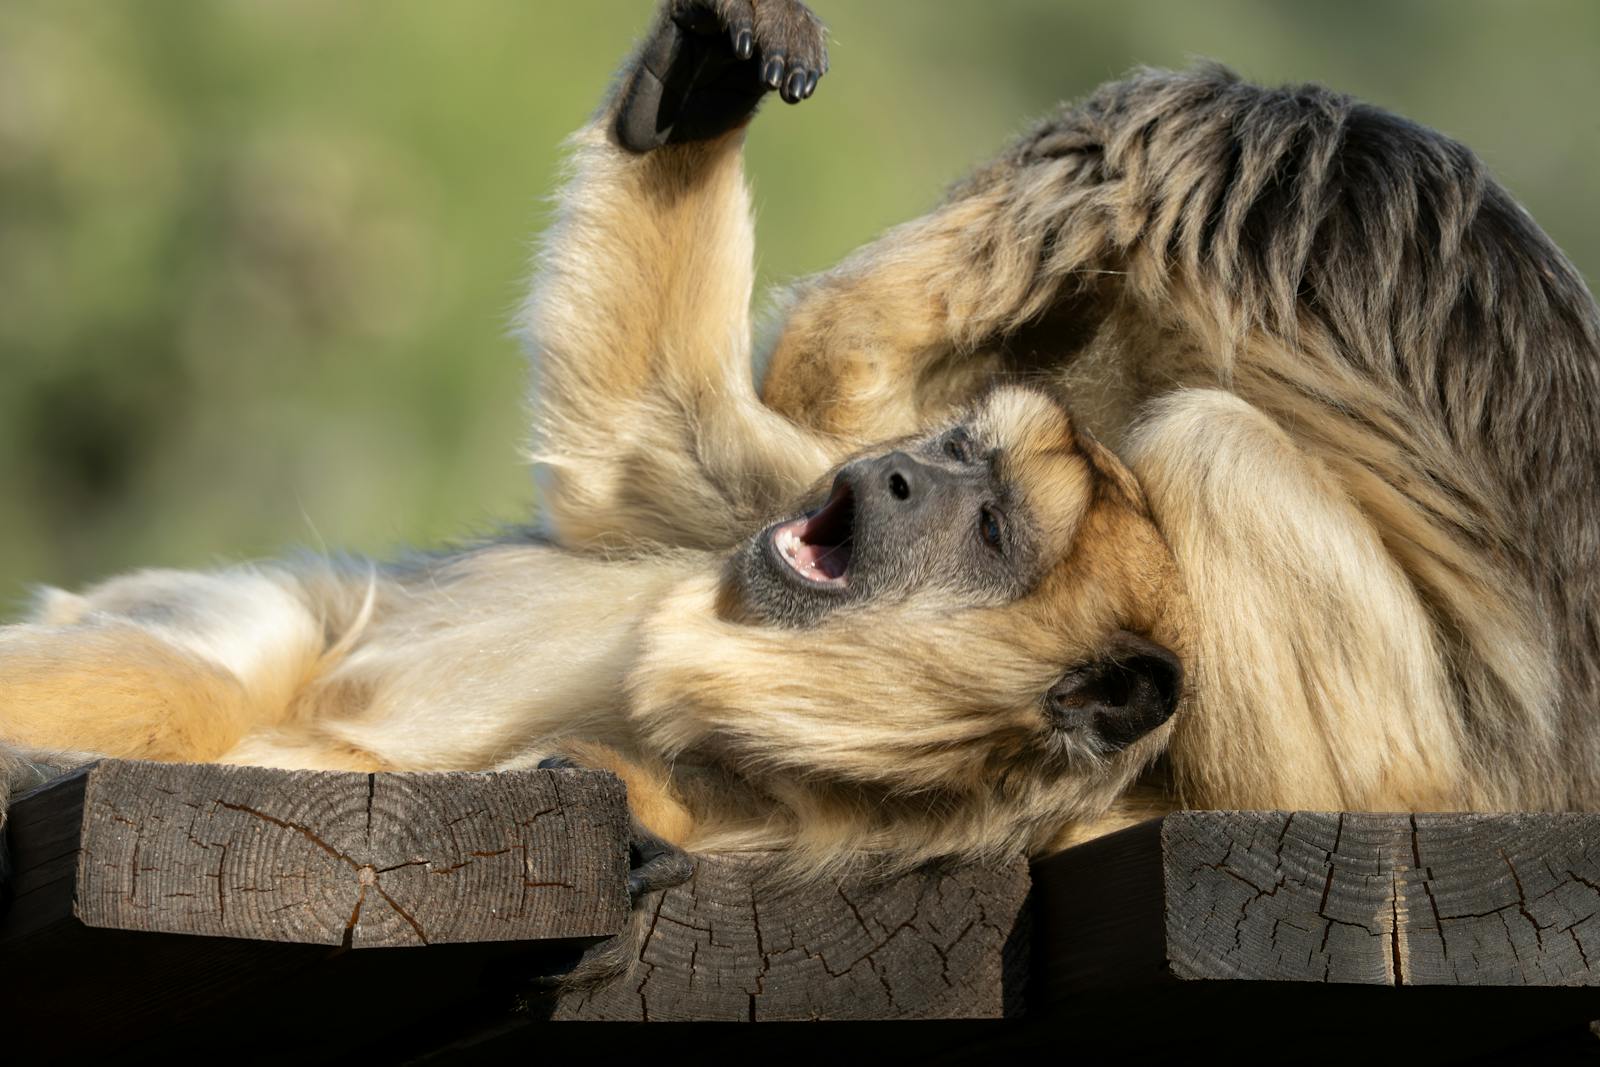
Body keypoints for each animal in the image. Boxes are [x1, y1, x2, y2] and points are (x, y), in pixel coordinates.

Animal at [0, 0, 1188, 896]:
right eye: (949, 449)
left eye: (988, 530)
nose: (897, 475)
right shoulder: (762, 496)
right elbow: (636, 424)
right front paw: (707, 74)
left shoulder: (866, 827)